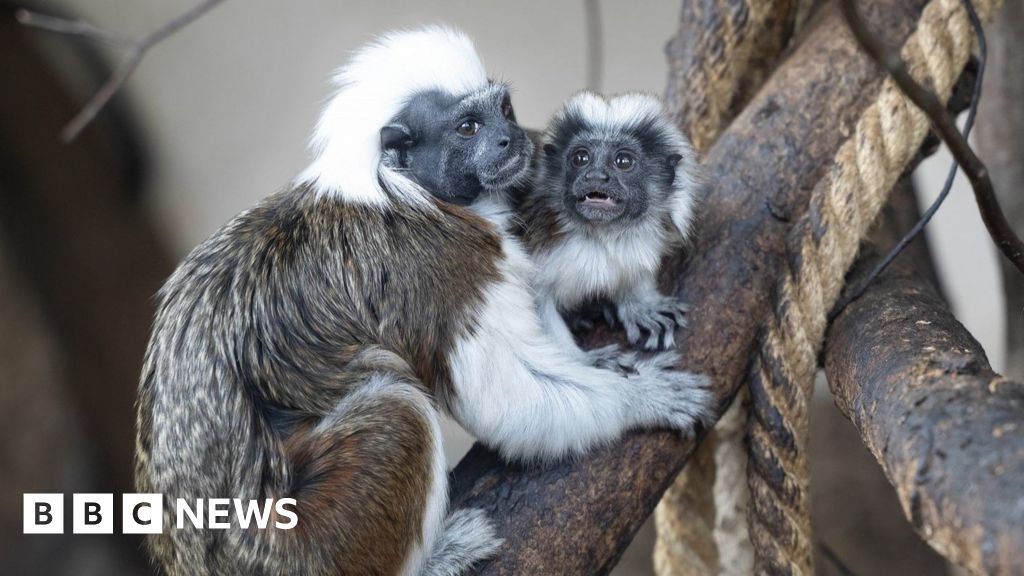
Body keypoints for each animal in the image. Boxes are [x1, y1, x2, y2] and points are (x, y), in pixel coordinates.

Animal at [515, 91, 701, 357]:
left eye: (623, 161)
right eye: (581, 158)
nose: (595, 176)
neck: (599, 236)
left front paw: (638, 305)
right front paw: (583, 363)